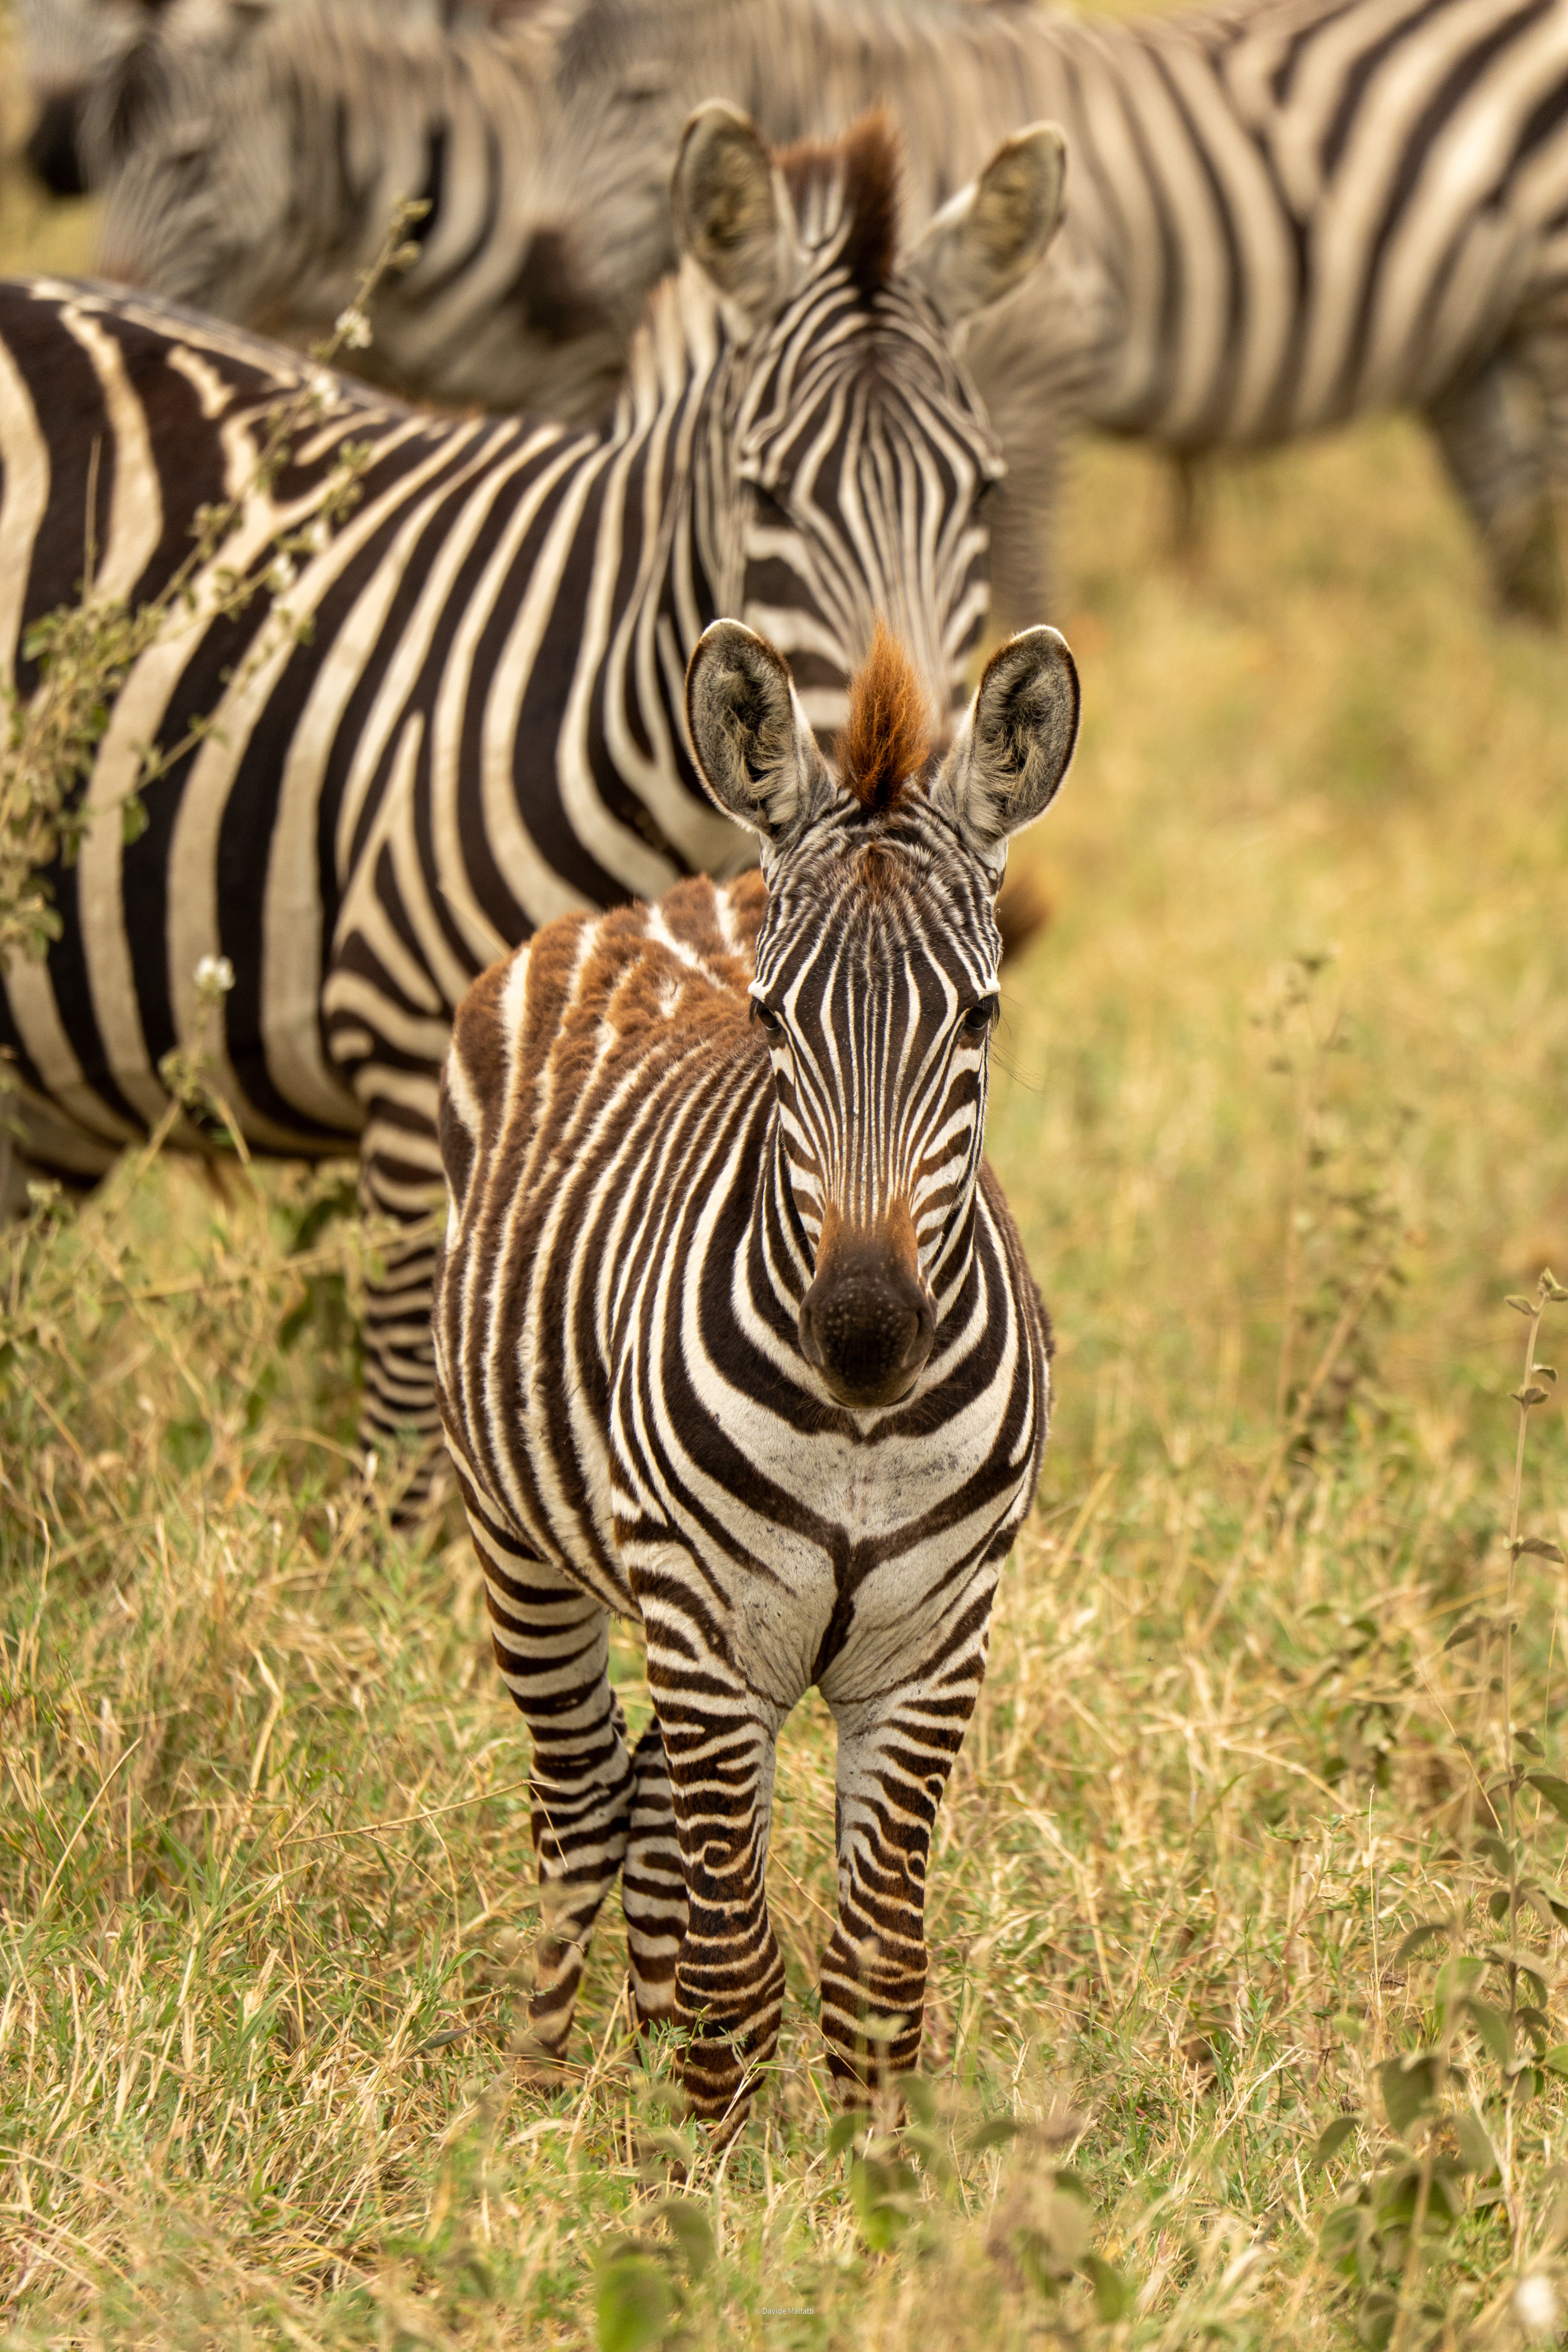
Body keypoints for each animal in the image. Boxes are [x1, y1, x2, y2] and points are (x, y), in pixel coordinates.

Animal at [96, 0, 1568, 621]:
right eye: (110, 159)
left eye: (190, 161)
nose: (550, 281)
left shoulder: (1039, 360)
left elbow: (1023, 573)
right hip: (1472, 343)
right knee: (1509, 511)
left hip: (1547, 301)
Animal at [432, 614, 1076, 2125]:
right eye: (774, 1022)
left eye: (979, 1018)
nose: (866, 1335)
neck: (860, 1434)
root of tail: (679, 888)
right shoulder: (711, 1627)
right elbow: (741, 1971)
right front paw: (701, 2172)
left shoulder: (932, 1649)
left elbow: (876, 1976)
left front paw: (868, 2171)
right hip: (524, 1543)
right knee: (582, 1801)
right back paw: (540, 2082)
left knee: (653, 1809)